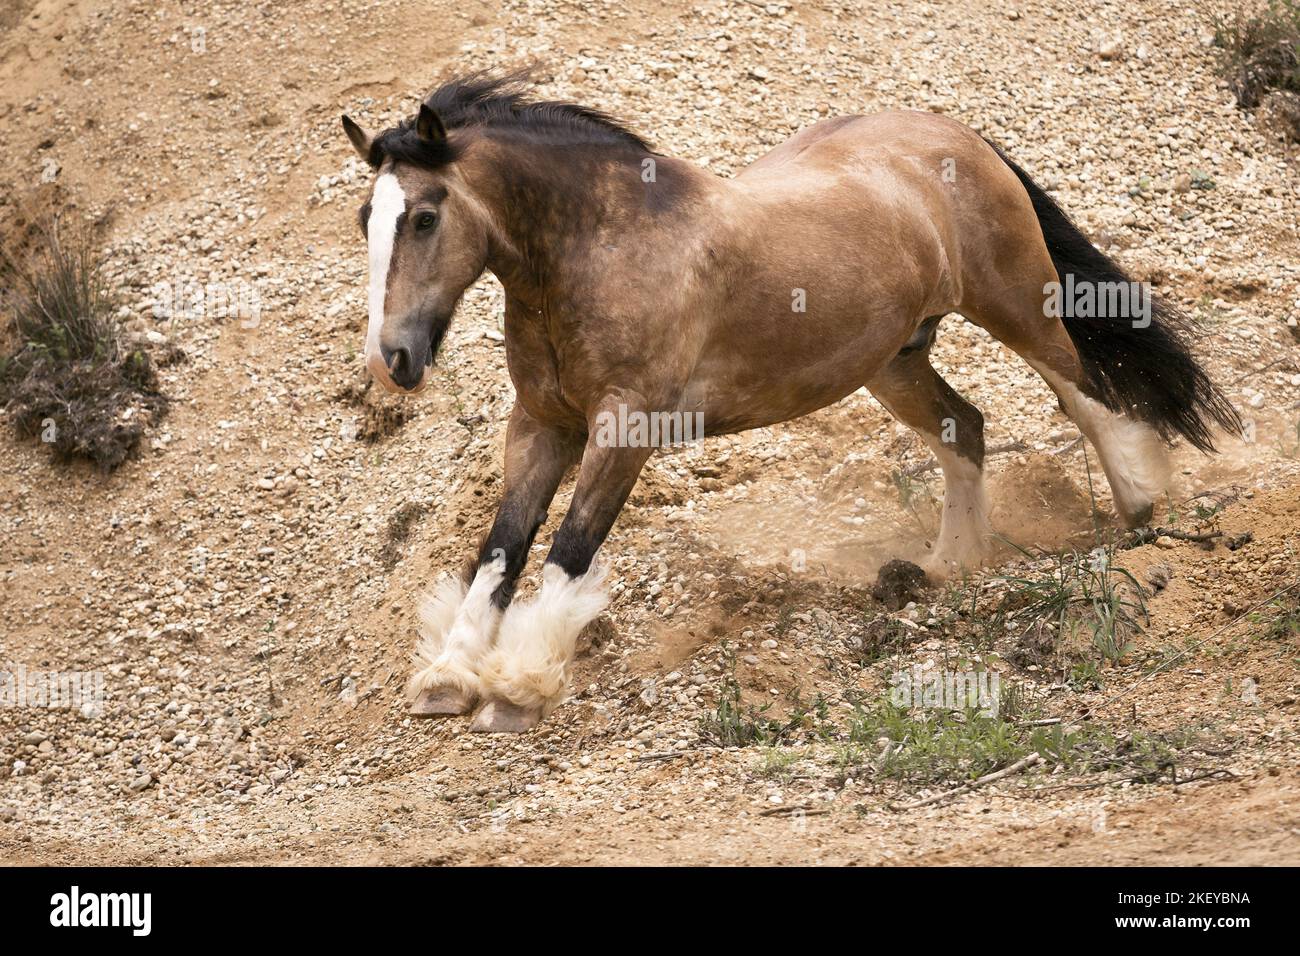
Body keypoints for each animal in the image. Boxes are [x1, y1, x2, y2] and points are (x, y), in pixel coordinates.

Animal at [341, 72, 1240, 733]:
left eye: (424, 217)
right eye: (365, 219)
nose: (393, 361)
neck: (599, 249)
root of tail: (960, 138)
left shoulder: (625, 429)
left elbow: (568, 548)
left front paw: (519, 685)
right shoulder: (541, 427)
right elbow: (500, 548)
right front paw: (450, 675)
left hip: (1019, 306)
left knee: (1083, 394)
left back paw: (1141, 505)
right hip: (895, 362)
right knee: (968, 431)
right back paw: (948, 564)